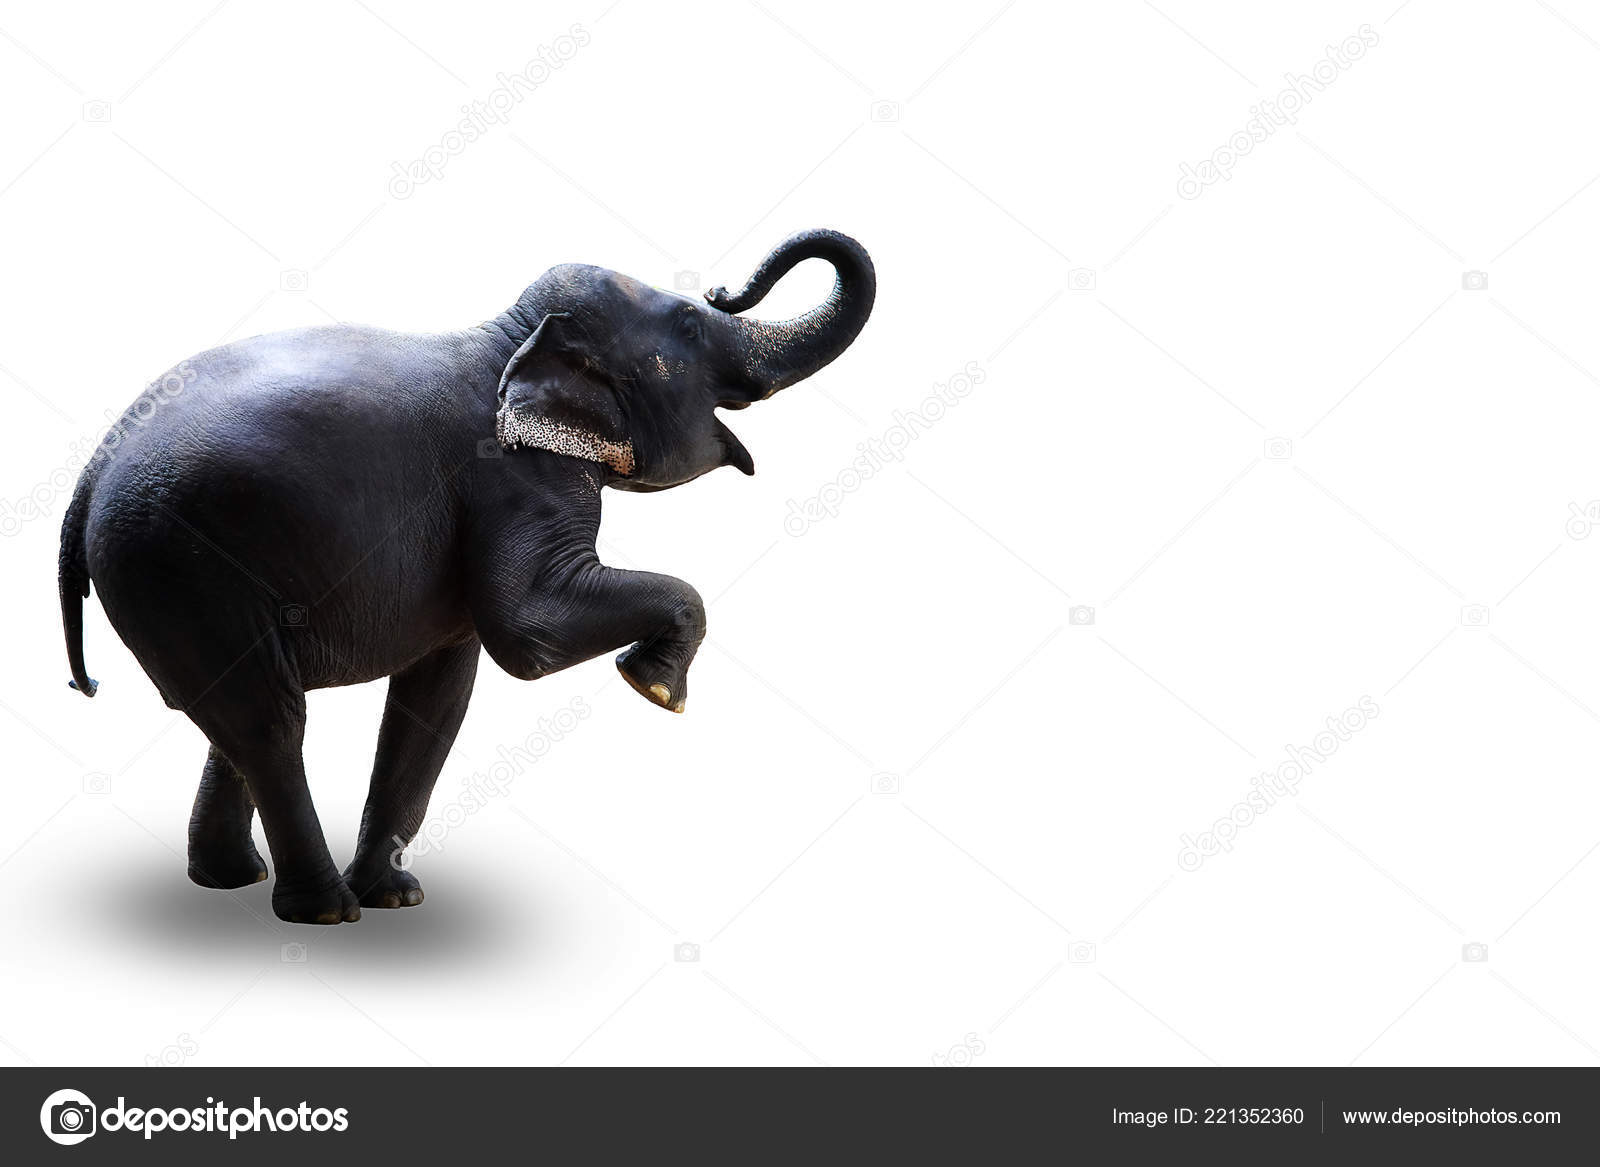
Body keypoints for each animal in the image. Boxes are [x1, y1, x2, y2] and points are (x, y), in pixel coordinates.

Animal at [57, 228, 874, 925]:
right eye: (691, 328)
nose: (724, 284)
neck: (510, 337)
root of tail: (88, 479)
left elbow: (441, 694)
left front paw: (398, 896)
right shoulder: (515, 476)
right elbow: (526, 634)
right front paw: (653, 688)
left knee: (234, 714)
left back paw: (236, 880)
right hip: (183, 567)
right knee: (270, 720)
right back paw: (323, 910)